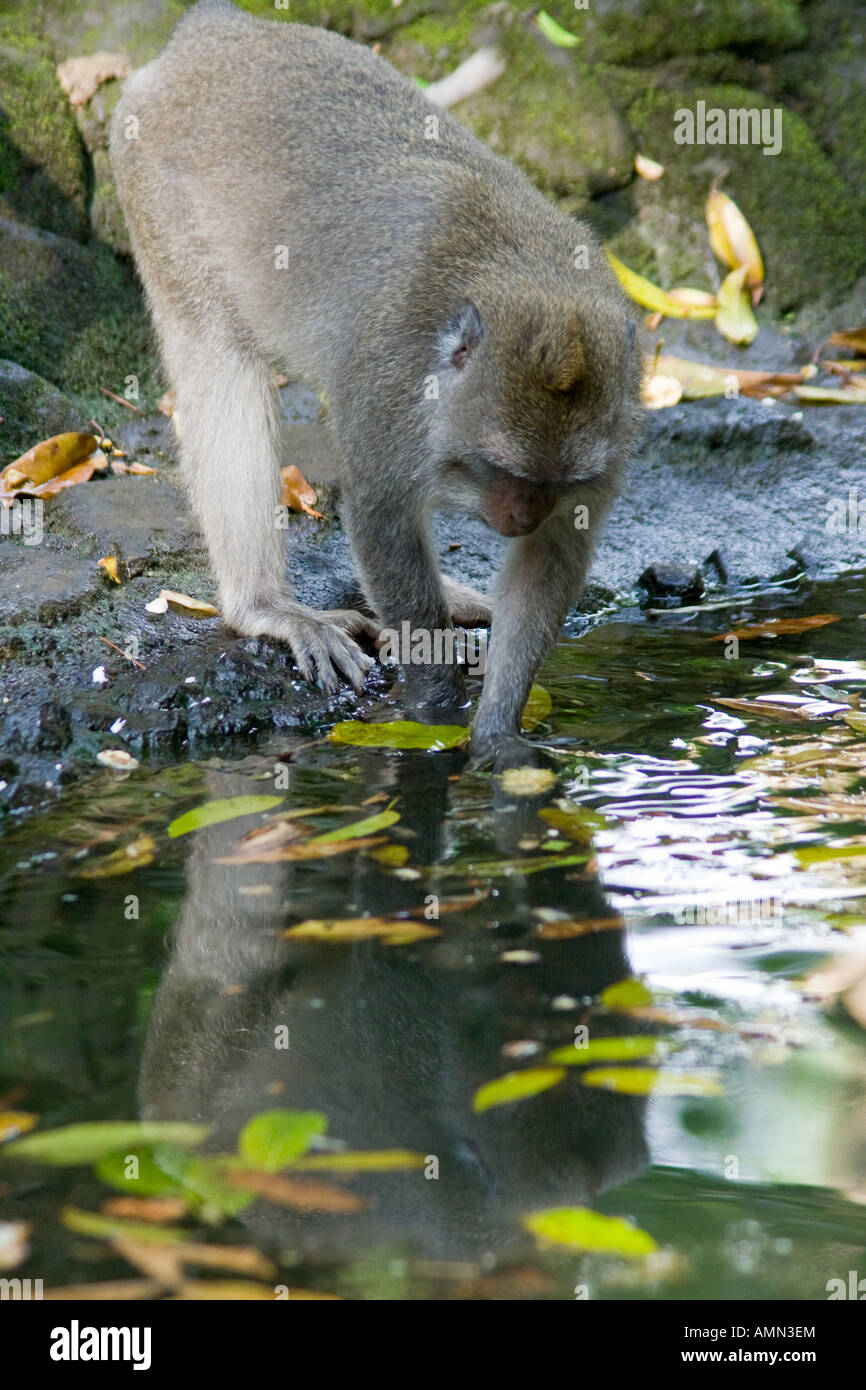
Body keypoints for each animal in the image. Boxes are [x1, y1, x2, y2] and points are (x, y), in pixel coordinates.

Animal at [110, 0, 642, 766]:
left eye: (555, 483)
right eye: (501, 469)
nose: (519, 515)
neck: (523, 275)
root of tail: (217, 34)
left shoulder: (617, 420)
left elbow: (551, 557)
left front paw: (497, 730)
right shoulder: (391, 380)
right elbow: (384, 517)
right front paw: (433, 707)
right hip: (158, 191)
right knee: (220, 361)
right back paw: (264, 606)